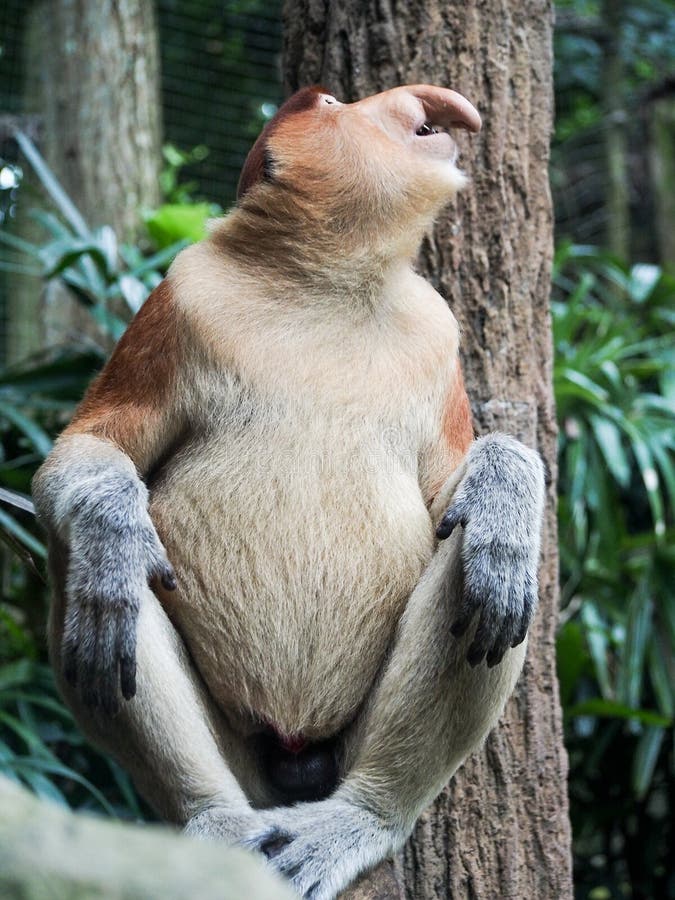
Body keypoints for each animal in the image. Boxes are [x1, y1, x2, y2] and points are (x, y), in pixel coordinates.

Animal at [32, 84, 545, 899]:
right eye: (331, 101)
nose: (422, 101)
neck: (329, 285)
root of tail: (295, 755)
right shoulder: (179, 301)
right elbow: (81, 453)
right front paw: (111, 553)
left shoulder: (438, 338)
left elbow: (453, 493)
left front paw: (504, 506)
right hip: (243, 762)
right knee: (76, 558)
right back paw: (215, 820)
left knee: (482, 591)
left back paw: (359, 818)